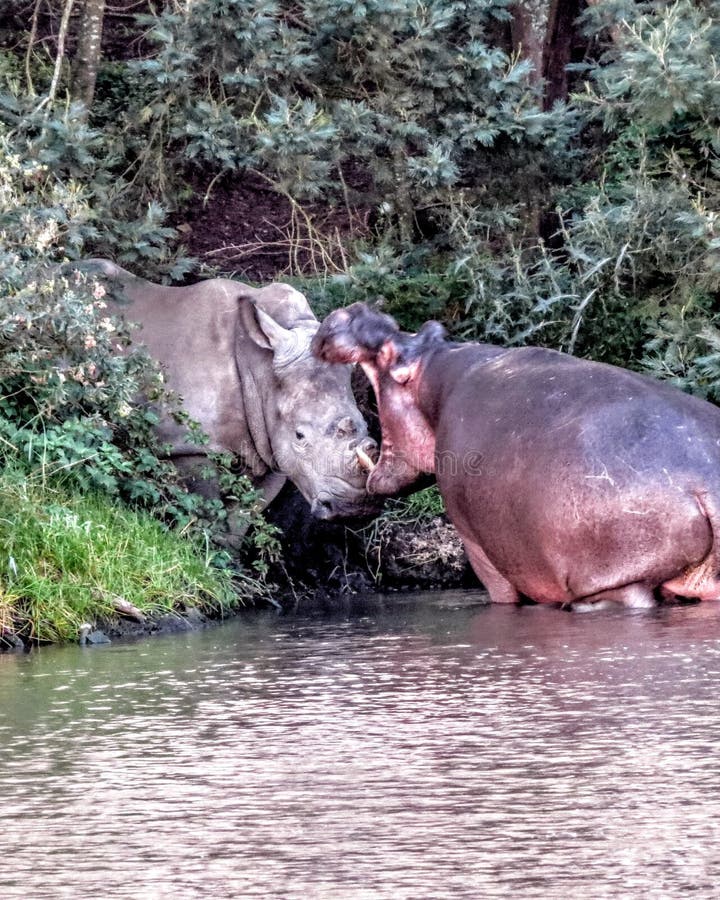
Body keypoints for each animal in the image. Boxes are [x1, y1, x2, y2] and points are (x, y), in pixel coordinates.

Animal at [72, 261, 378, 530]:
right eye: (299, 435)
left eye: (366, 425)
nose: (353, 508)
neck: (260, 367)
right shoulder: (191, 445)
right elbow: (202, 506)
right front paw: (198, 548)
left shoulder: (272, 451)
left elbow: (243, 515)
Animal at [313, 303, 720, 609]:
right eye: (431, 327)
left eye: (389, 356)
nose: (357, 310)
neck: (436, 375)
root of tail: (706, 482)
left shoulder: (475, 542)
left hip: (616, 581)